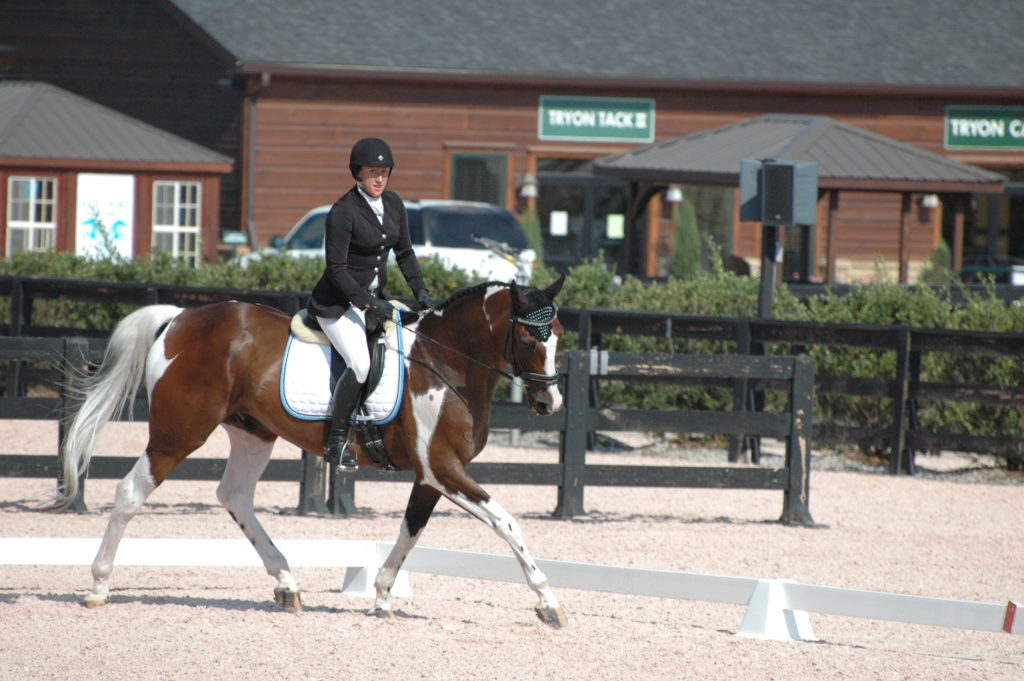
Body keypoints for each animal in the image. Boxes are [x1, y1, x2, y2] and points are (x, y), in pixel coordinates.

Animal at [55, 275, 568, 627]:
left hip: (253, 432)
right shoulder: (443, 469)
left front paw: (382, 595)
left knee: (234, 495)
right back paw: (99, 585)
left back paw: (287, 583)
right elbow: (506, 522)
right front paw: (548, 601)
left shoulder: (431, 475)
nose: (550, 402)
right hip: (178, 432)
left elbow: (411, 531)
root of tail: (181, 317)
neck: (445, 362)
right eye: (529, 337)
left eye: (559, 333)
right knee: (131, 492)